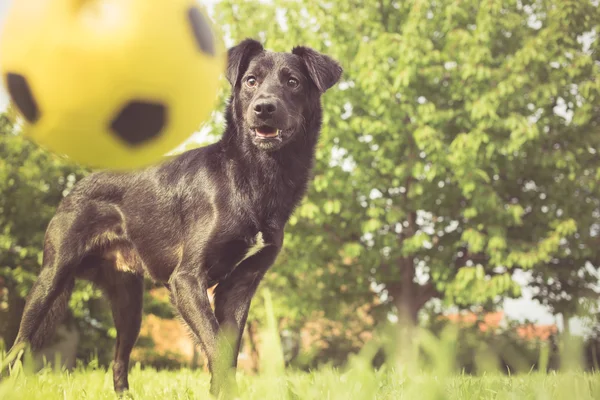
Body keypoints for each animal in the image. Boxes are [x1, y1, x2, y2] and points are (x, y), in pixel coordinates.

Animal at [8, 39, 342, 396]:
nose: (264, 108)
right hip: (51, 280)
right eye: (251, 81)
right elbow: (214, 345)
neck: (252, 177)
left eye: (293, 82)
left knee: (118, 360)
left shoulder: (239, 286)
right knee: (17, 347)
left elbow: (227, 352)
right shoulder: (186, 279)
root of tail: (78, 184)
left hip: (130, 303)